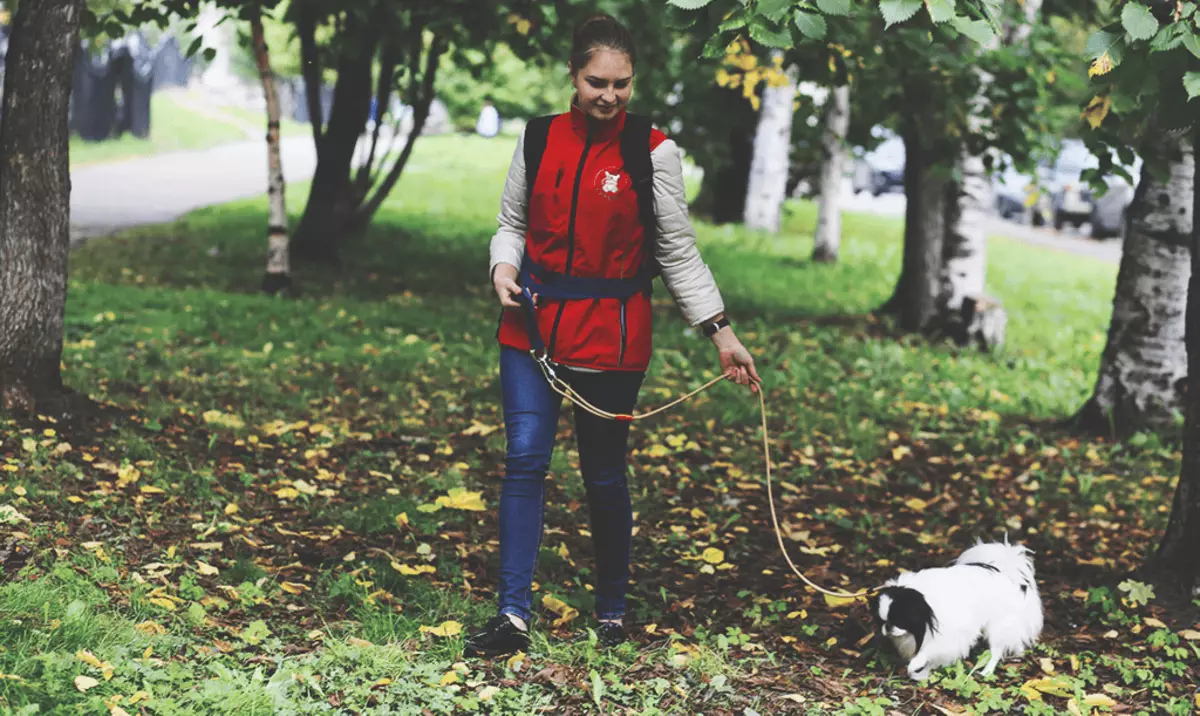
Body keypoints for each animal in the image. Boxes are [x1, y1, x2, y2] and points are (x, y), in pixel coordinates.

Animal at [868, 539, 1046, 676]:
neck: (926, 607)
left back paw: (987, 671)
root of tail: (1008, 574)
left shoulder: (951, 635)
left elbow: (931, 649)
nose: (887, 627)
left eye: (900, 620)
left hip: (998, 627)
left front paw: (916, 664)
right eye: (882, 620)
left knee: (996, 651)